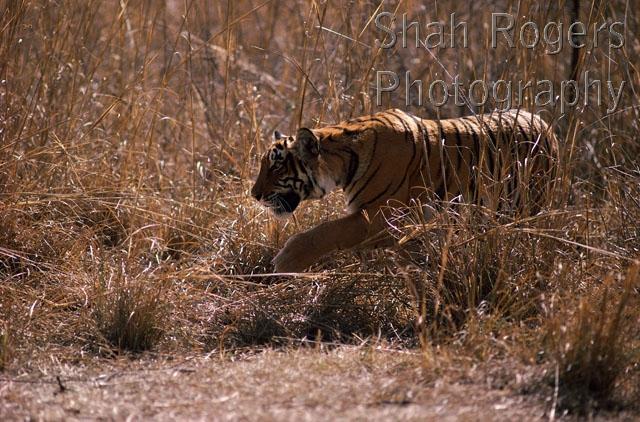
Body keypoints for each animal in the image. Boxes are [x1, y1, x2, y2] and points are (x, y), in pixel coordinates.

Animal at [251, 108, 558, 273]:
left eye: (276, 167)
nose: (254, 195)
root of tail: (545, 124)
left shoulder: (380, 217)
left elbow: (325, 232)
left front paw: (284, 262)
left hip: (529, 207)